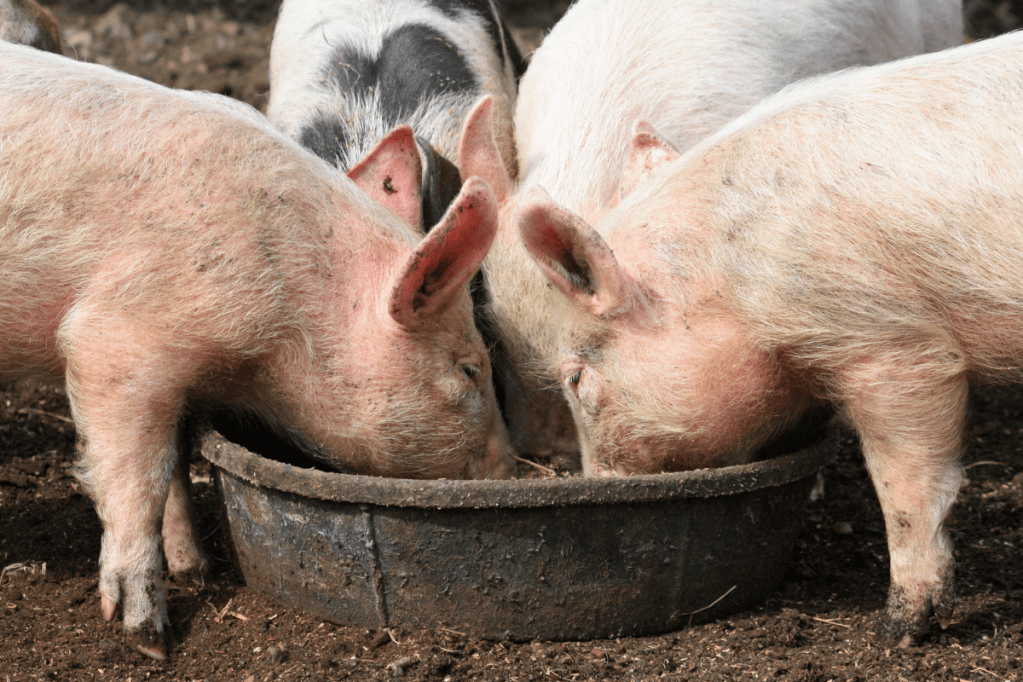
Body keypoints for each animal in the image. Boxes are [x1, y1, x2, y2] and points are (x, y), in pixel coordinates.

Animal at [0, 42, 514, 660]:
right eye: (470, 368)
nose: (512, 470)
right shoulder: (117, 338)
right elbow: (138, 475)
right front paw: (151, 639)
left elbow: (174, 461)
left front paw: (195, 571)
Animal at [516, 30, 1023, 643]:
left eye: (575, 377)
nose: (598, 482)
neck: (728, 280)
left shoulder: (889, 342)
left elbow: (905, 483)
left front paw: (900, 630)